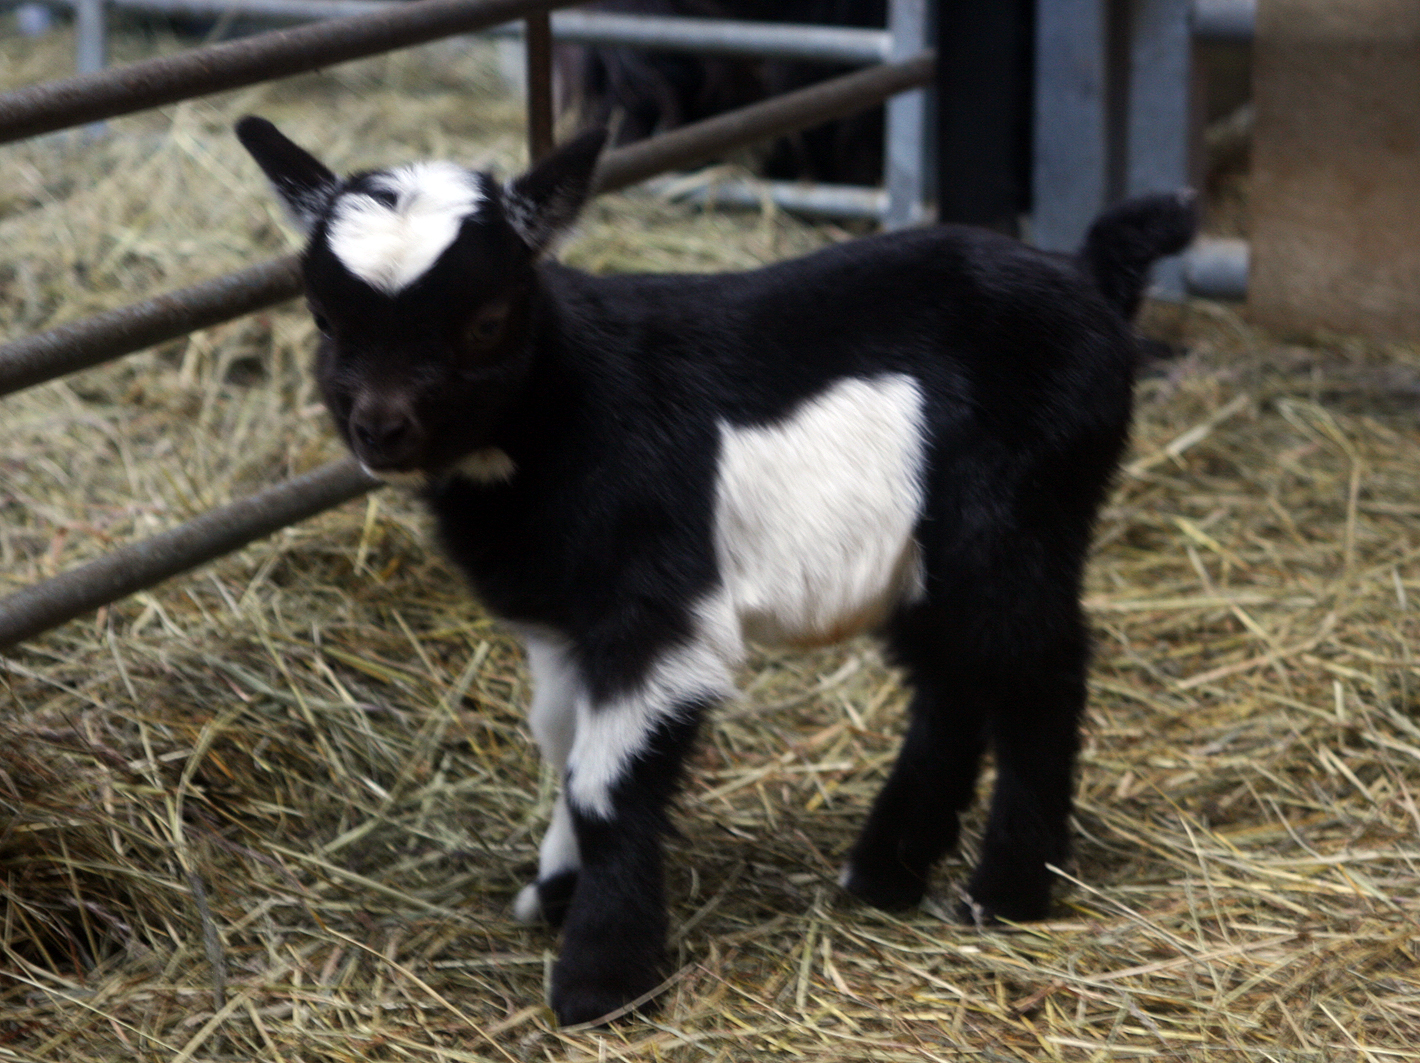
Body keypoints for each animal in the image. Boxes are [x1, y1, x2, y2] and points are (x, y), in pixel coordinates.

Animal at [235, 116, 1197, 1026]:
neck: (573, 405)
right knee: (955, 678)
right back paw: (884, 871)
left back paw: (1006, 891)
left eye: (487, 320)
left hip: (1020, 515)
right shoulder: (566, 623)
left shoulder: (656, 606)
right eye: (324, 319)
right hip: (934, 554)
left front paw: (601, 978)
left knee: (1038, 671)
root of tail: (1091, 277)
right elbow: (564, 744)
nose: (379, 427)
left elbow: (606, 778)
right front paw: (556, 892)